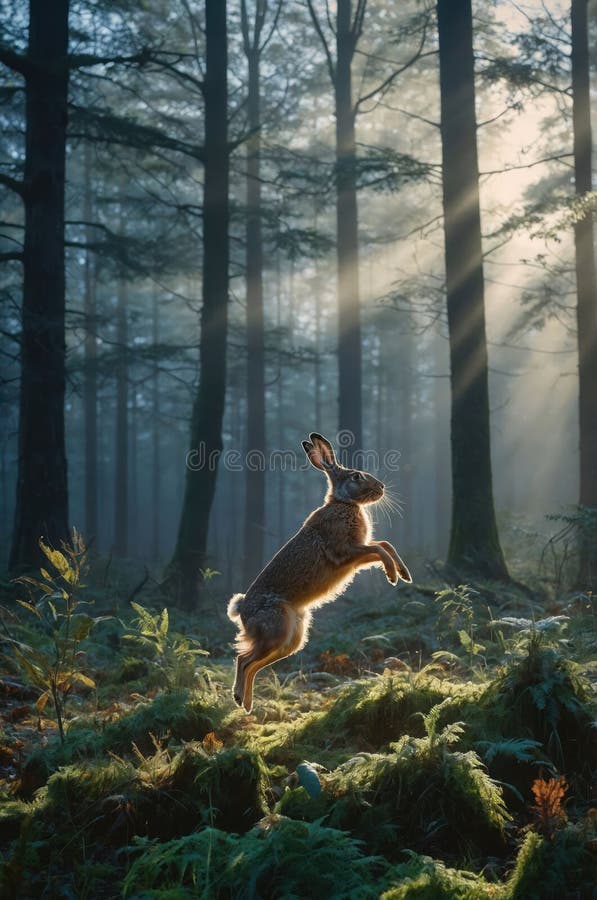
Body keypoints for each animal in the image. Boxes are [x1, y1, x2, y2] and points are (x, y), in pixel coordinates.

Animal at [228, 433, 412, 712]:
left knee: (253, 664)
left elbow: (384, 545)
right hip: (276, 631)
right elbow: (380, 549)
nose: (381, 487)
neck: (343, 503)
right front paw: (392, 575)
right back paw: (241, 699)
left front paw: (403, 574)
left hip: (290, 640)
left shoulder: (355, 558)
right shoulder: (345, 551)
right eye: (356, 476)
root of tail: (242, 613)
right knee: (243, 659)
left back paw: (246, 703)